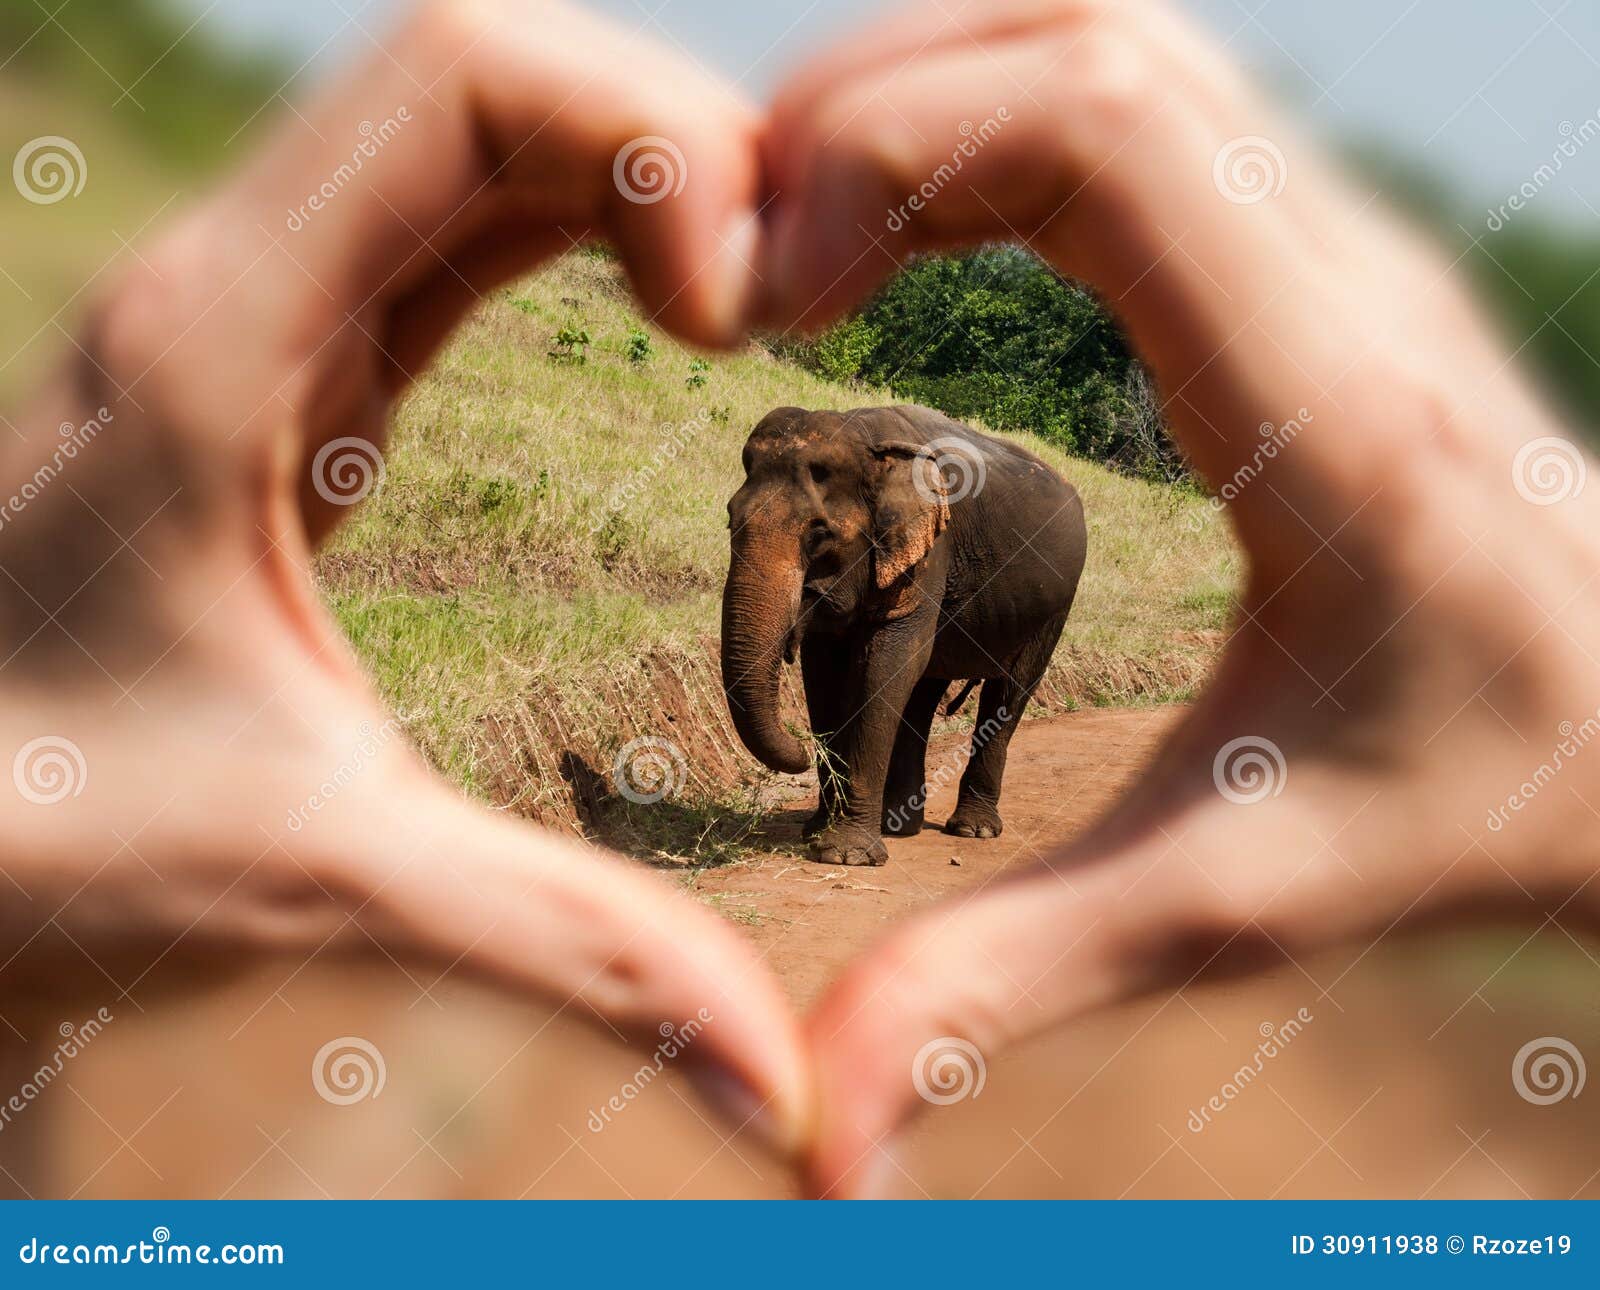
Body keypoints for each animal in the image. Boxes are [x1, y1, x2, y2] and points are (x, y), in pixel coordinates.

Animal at [720, 403, 1087, 866]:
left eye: (819, 534)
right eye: (730, 518)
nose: (800, 751)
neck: (865, 439)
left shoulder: (932, 552)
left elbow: (887, 665)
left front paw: (845, 855)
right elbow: (824, 673)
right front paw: (817, 832)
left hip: (1055, 609)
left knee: (1009, 691)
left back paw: (973, 829)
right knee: (923, 692)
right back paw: (899, 825)